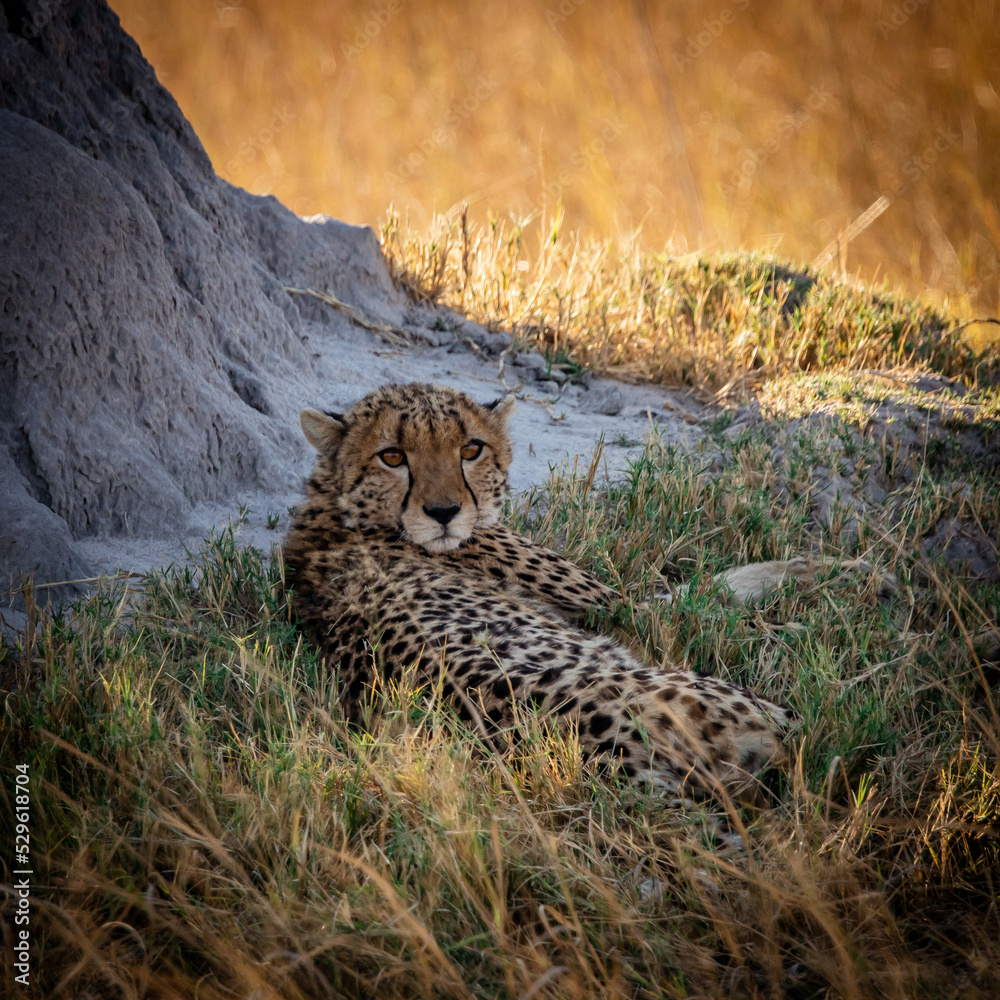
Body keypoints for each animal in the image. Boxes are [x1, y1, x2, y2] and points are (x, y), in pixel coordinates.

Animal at [283, 382, 792, 800]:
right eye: (392, 456)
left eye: (470, 449)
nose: (444, 512)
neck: (337, 512)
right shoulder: (619, 608)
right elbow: (695, 597)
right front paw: (798, 573)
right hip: (738, 701)